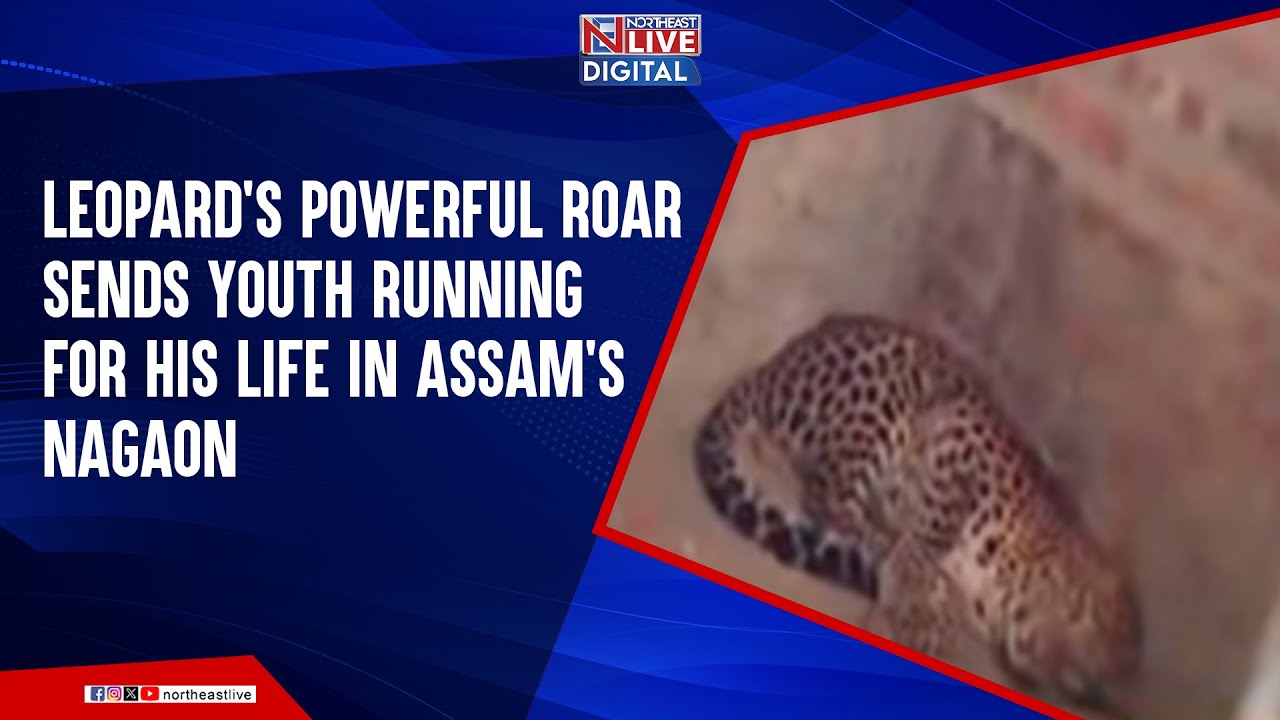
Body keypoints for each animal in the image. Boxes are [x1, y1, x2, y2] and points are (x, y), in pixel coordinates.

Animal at [694, 314, 1142, 714]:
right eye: (1080, 613)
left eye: (1086, 682)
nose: (1060, 672)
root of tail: (774, 365)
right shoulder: (960, 434)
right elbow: (932, 527)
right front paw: (918, 597)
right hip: (882, 394)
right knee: (827, 499)